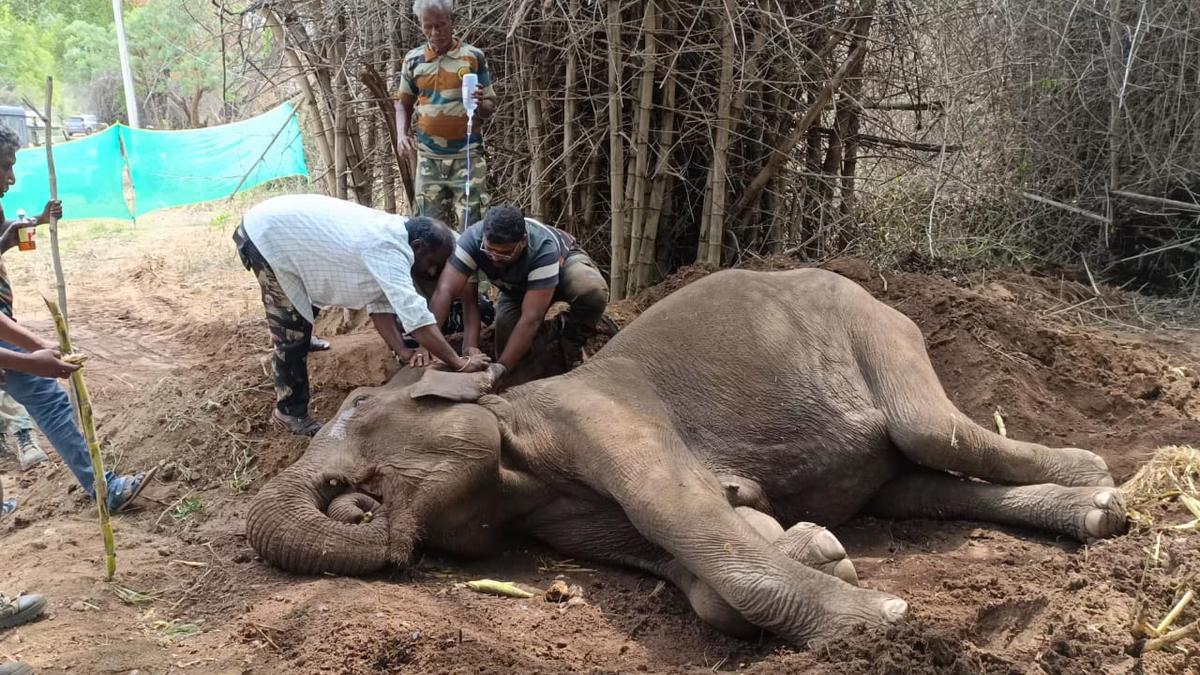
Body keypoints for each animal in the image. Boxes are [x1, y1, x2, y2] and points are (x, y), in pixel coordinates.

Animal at [246, 268, 1128, 645]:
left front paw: (881, 621)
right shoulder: (559, 513)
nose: (352, 497)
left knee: (932, 434)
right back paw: (1092, 511)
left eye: (358, 407)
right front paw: (821, 550)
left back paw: (1101, 486)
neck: (515, 414)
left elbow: (682, 513)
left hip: (879, 332)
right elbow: (691, 575)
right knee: (917, 489)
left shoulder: (602, 416)